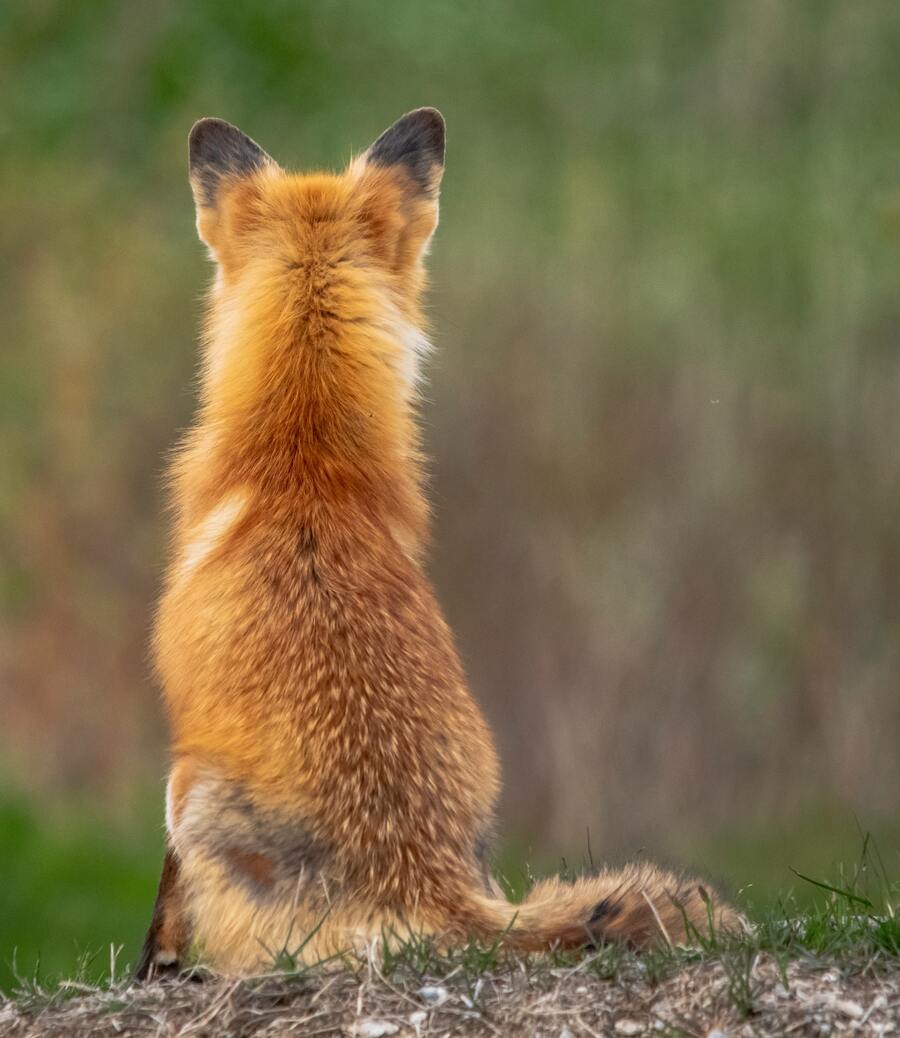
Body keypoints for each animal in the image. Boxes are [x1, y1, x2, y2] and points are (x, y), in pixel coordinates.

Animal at [136, 108, 742, 979]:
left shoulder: (179, 754)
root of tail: (422, 883)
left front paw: (150, 963)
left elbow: (162, 903)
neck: (305, 460)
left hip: (191, 792)